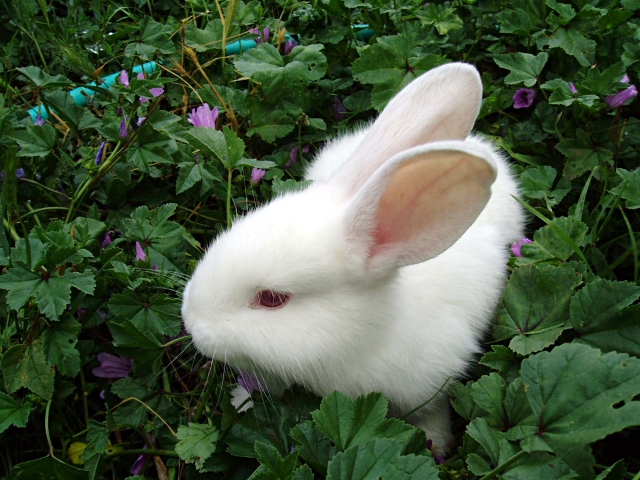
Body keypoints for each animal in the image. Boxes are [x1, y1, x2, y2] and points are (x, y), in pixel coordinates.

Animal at [181, 62, 525, 454]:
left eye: (272, 299)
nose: (191, 321)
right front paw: (242, 400)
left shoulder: (431, 385)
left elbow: (431, 414)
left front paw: (435, 445)